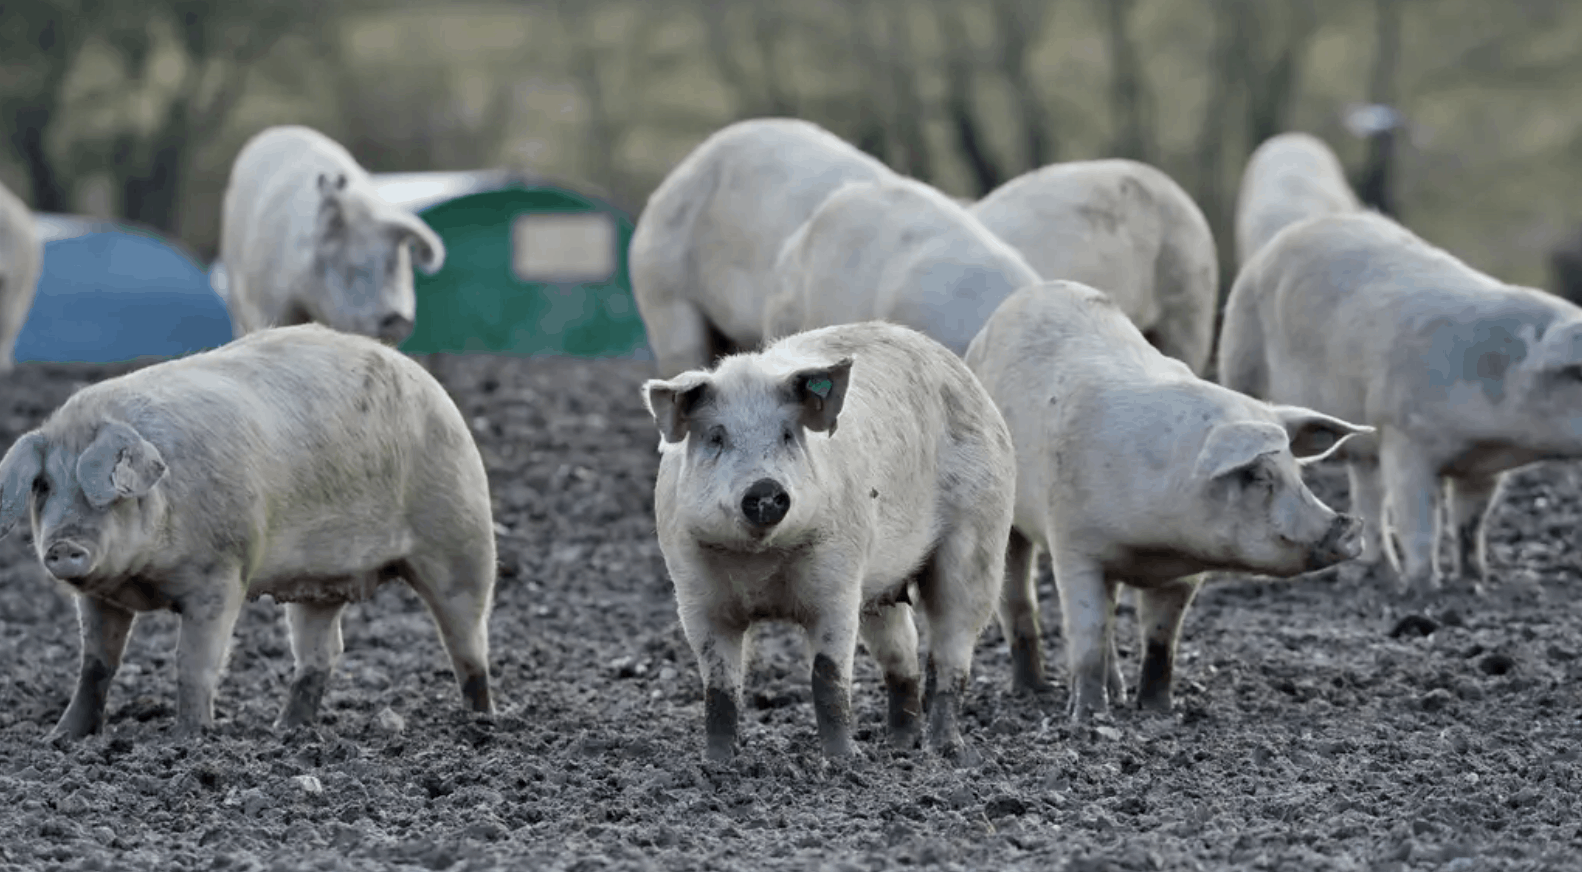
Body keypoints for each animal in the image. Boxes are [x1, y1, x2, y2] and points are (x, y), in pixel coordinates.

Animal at [0, 323, 496, 739]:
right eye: (43, 486)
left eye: (101, 488)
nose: (64, 545)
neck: (141, 578)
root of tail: (432, 386)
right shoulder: (102, 596)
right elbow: (96, 664)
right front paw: (61, 737)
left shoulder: (222, 573)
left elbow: (194, 662)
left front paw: (189, 739)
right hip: (321, 586)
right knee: (323, 652)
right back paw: (286, 730)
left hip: (462, 538)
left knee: (468, 639)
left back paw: (482, 722)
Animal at [644, 320, 1016, 760]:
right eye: (717, 437)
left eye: (788, 435)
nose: (765, 488)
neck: (760, 560)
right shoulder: (694, 594)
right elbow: (719, 686)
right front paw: (716, 762)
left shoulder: (838, 580)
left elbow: (827, 676)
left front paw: (842, 762)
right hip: (880, 582)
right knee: (901, 650)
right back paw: (900, 745)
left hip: (979, 536)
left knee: (951, 647)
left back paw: (944, 750)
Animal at [964, 280, 1372, 718]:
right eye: (1257, 475)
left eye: (1298, 473)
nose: (1351, 532)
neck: (1156, 547)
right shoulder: (1073, 544)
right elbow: (1086, 632)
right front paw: (1087, 715)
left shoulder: (1183, 576)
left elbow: (1161, 639)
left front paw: (1158, 710)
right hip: (1011, 521)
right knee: (1019, 600)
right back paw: (1032, 690)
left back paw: (1117, 692)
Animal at [1219, 210, 1582, 599]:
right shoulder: (1404, 435)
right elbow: (1419, 520)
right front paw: (1426, 586)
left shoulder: (1483, 468)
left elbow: (1471, 522)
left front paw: (1476, 579)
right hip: (1242, 362)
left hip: (1363, 440)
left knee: (1368, 494)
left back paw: (1378, 573)